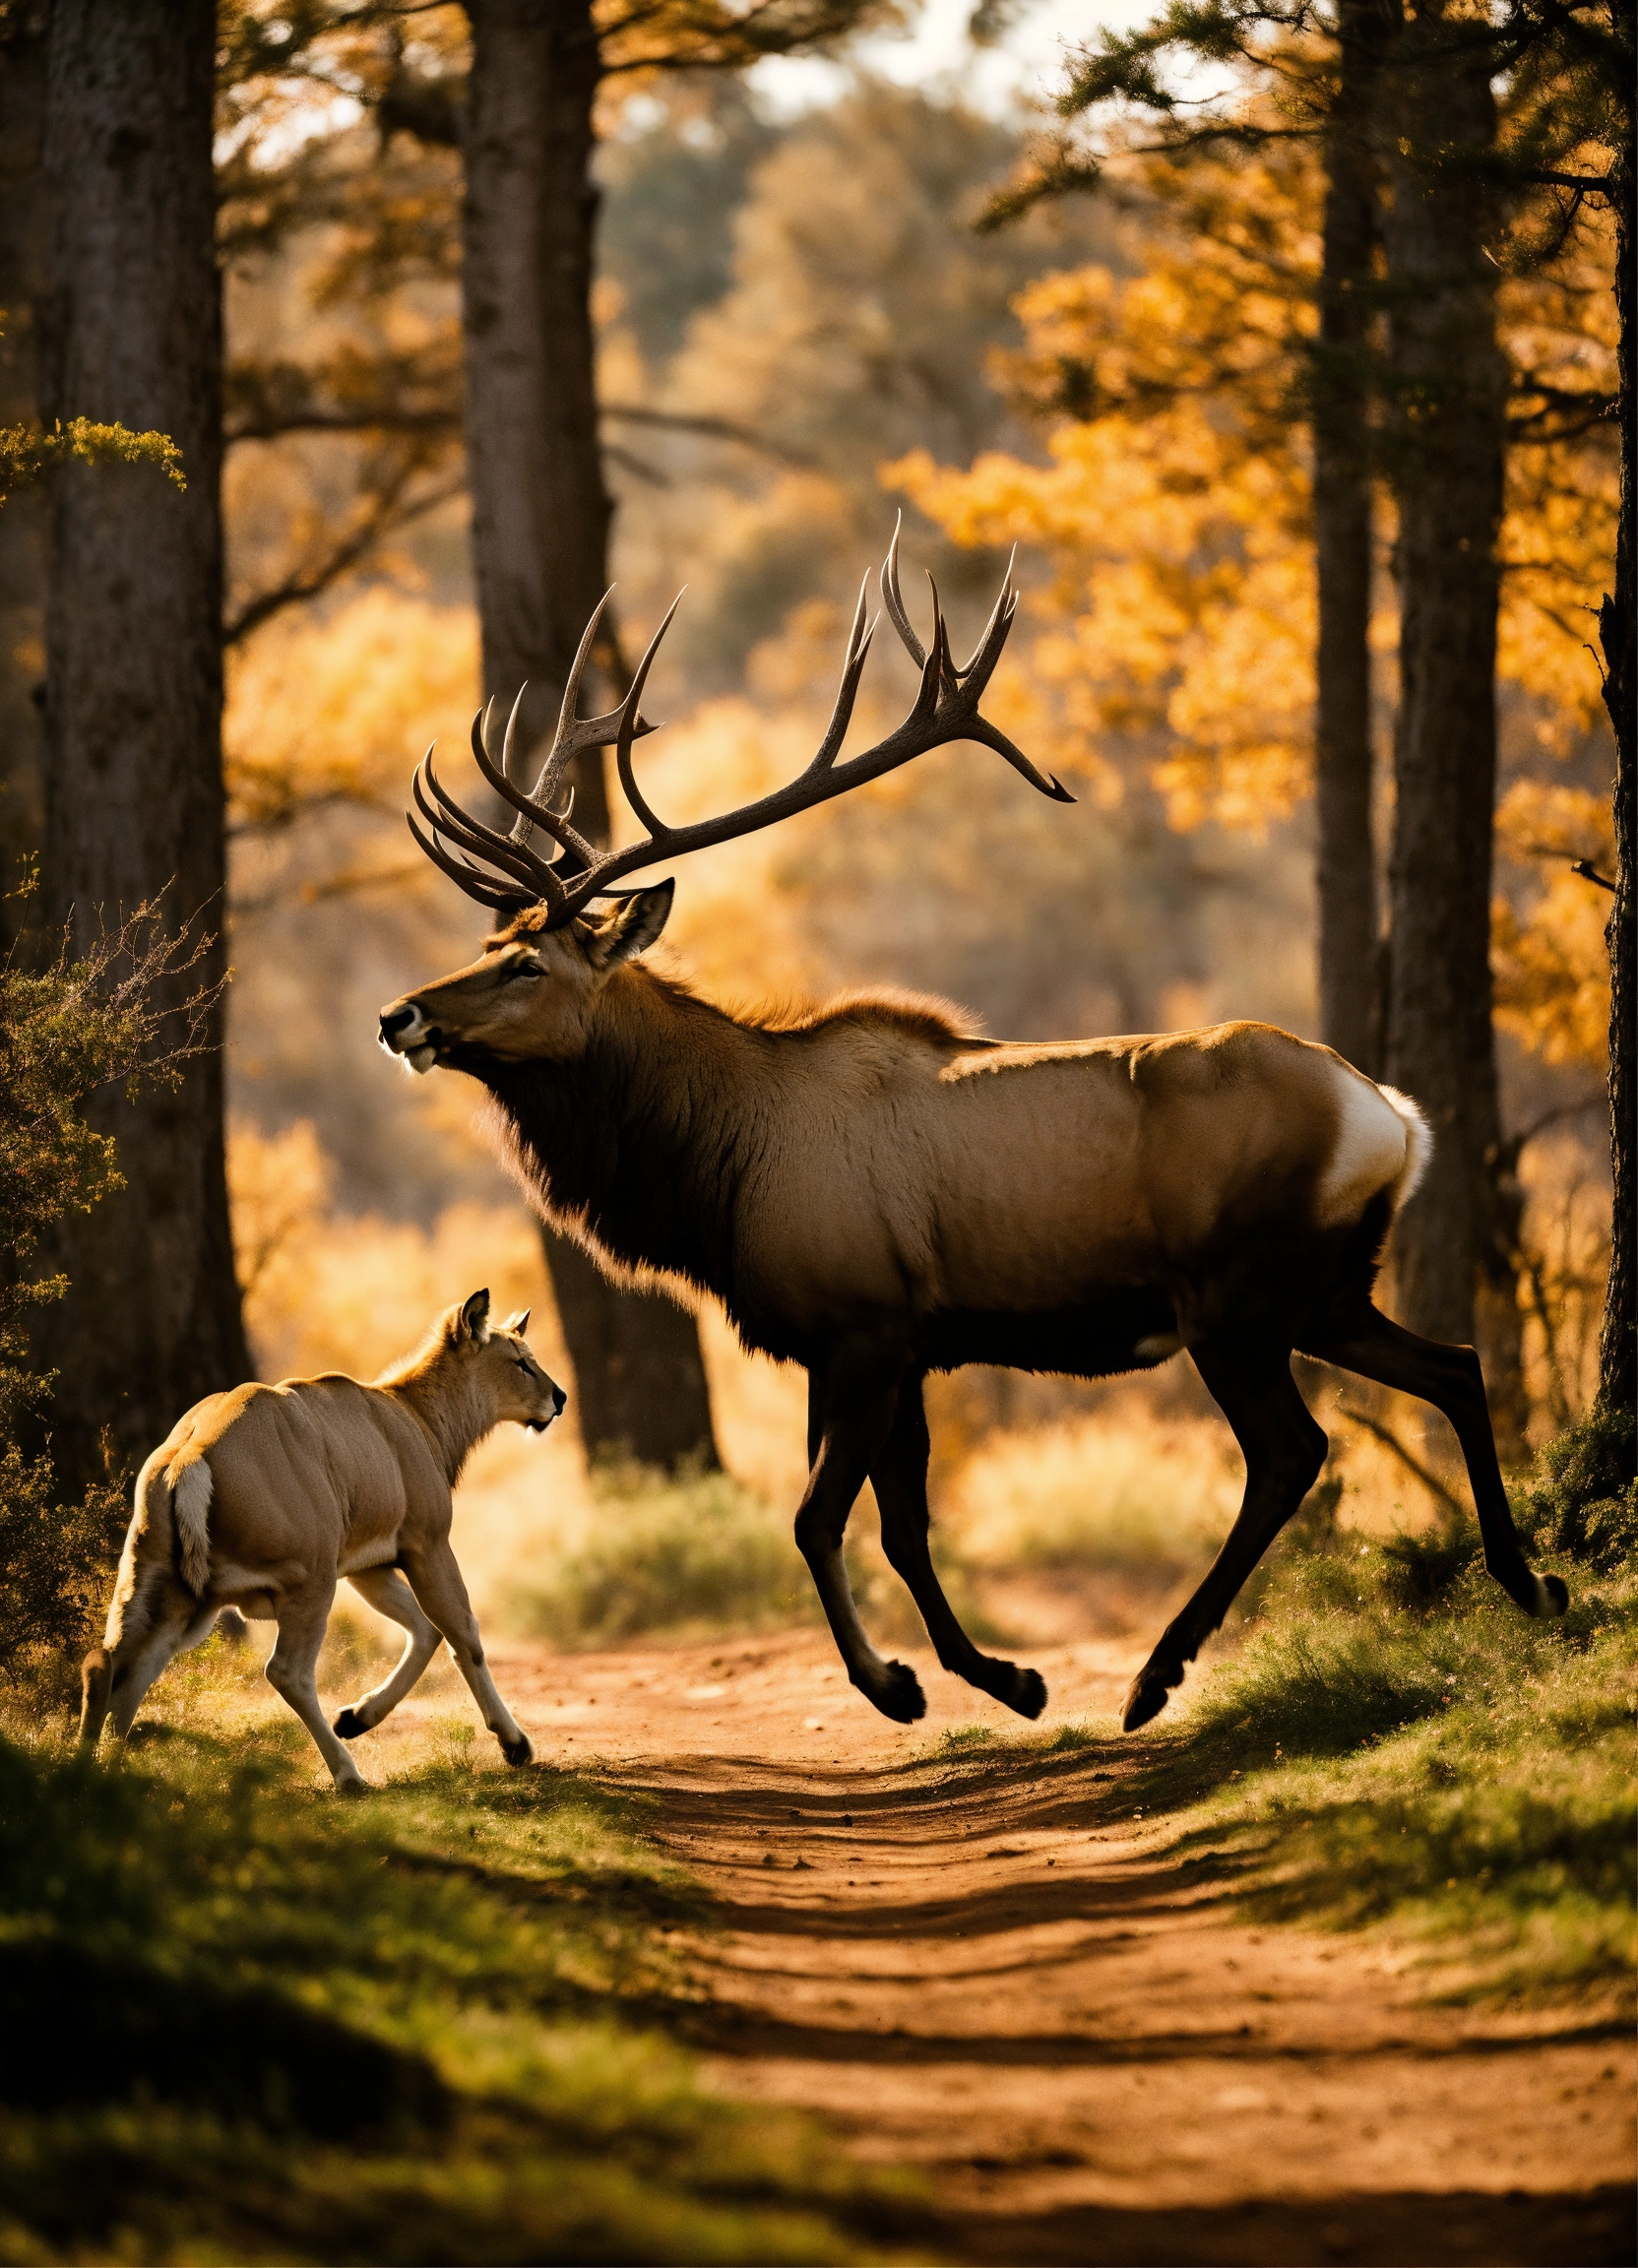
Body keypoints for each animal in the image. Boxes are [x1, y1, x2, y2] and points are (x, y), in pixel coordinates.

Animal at [80, 1291, 565, 1789]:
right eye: (520, 1361)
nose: (559, 1397)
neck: (417, 1415)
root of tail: (189, 1458)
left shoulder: (369, 1567)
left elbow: (424, 1629)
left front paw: (356, 1716)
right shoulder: (426, 1544)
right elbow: (463, 1634)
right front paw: (515, 1744)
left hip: (169, 1592)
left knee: (114, 1664)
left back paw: (95, 1774)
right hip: (307, 1581)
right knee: (287, 1671)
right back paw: (349, 1775)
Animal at [379, 526, 1567, 1735]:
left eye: (529, 963)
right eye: (487, 942)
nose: (400, 1017)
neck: (715, 1173)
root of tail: (1393, 1120)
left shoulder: (863, 1326)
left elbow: (819, 1519)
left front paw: (897, 1685)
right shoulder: (872, 1345)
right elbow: (901, 1528)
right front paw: (1005, 1679)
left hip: (1233, 1297)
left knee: (1293, 1452)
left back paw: (1155, 1676)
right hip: (1325, 1289)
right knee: (1454, 1364)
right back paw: (1528, 1582)